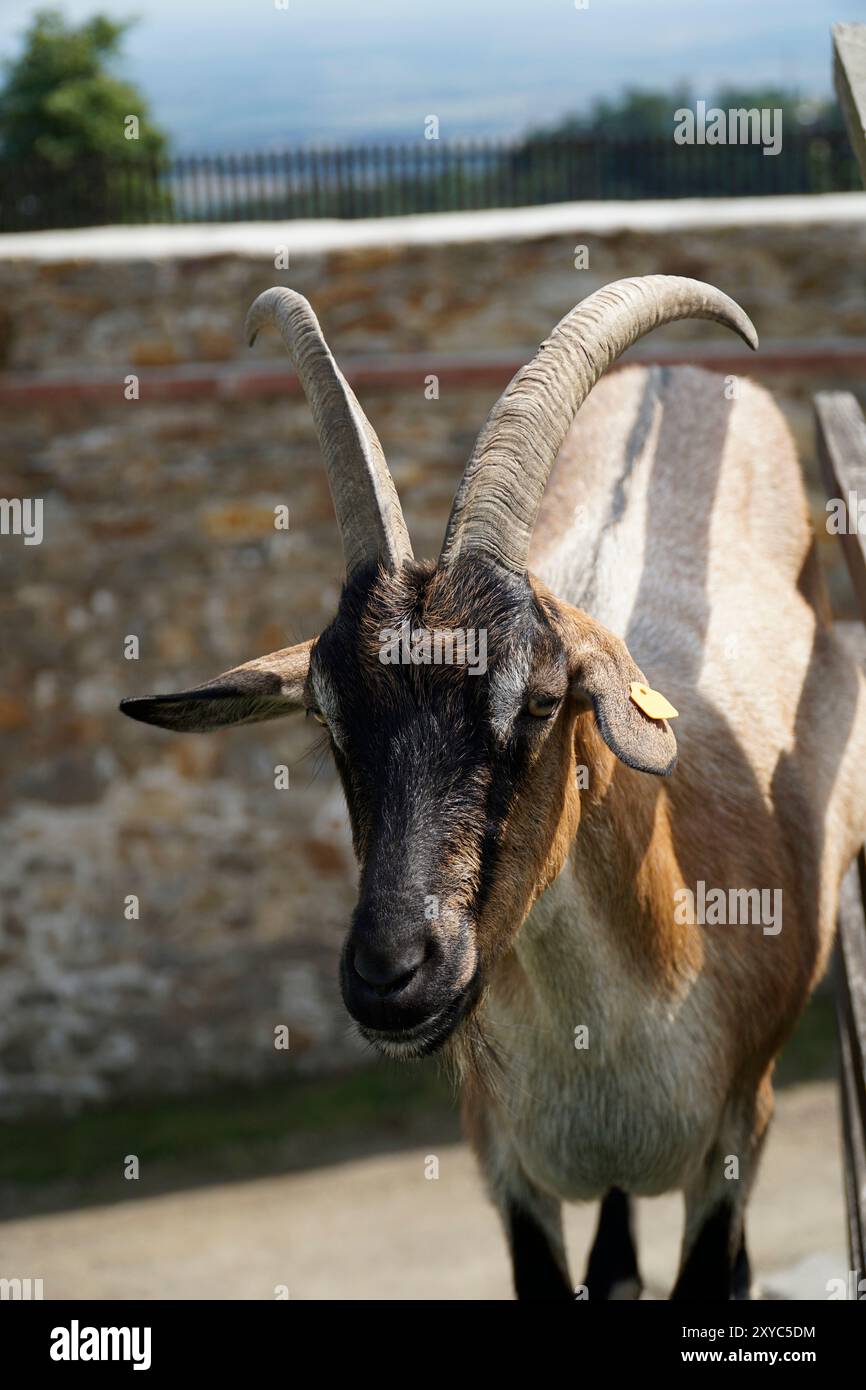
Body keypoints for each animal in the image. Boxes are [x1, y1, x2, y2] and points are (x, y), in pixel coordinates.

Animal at [121, 276, 866, 1300]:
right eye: (328, 718)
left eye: (545, 699)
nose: (392, 974)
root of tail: (679, 377)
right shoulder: (506, 1166)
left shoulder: (735, 1141)